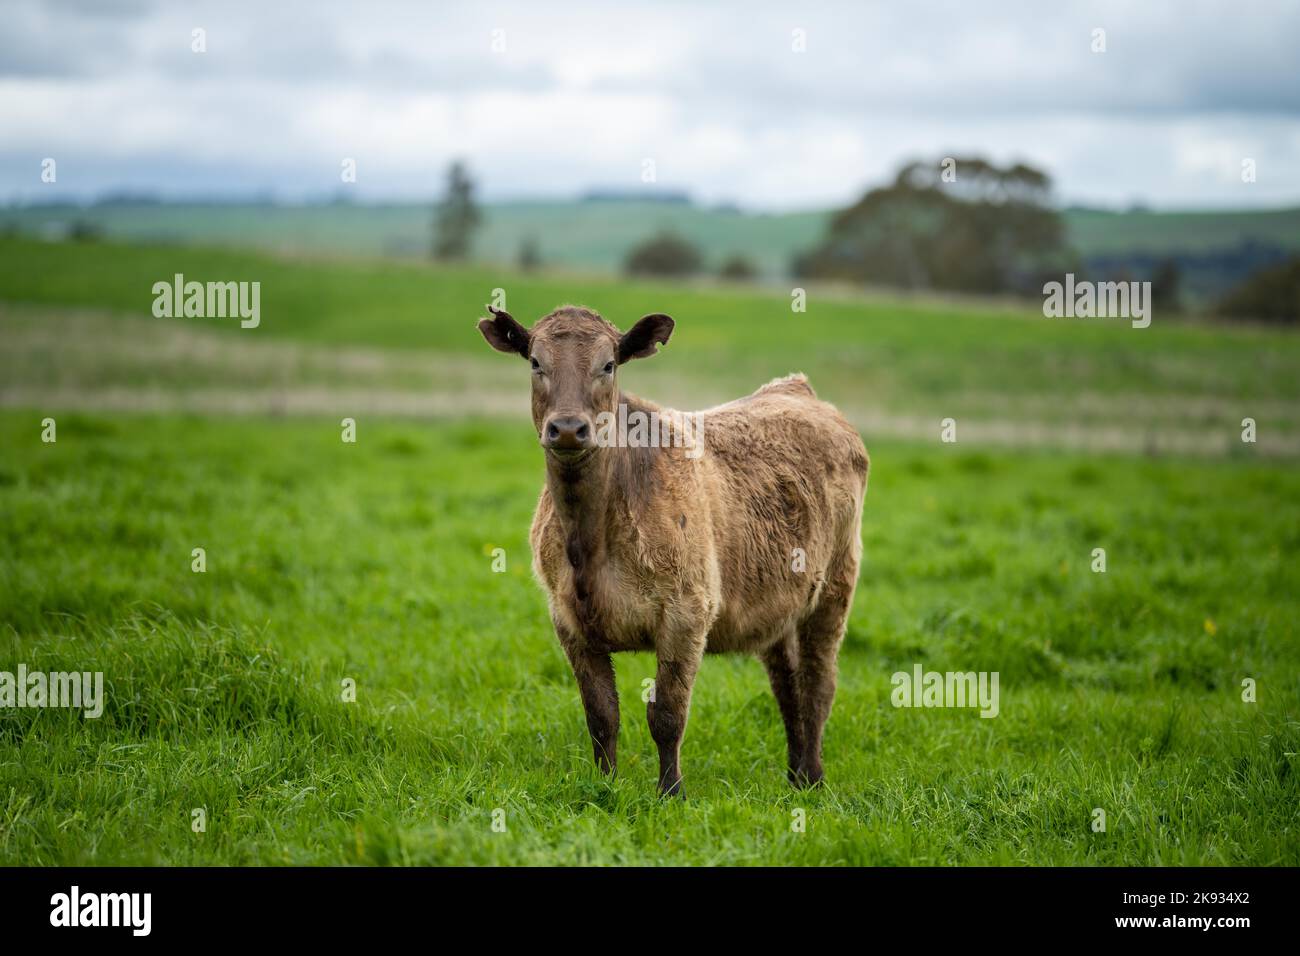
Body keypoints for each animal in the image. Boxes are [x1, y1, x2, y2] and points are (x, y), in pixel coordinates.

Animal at [478, 304, 868, 796]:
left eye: (609, 365)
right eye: (535, 362)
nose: (567, 428)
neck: (590, 538)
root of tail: (796, 388)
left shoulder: (687, 612)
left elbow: (666, 715)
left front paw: (670, 792)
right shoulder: (569, 621)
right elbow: (601, 716)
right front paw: (606, 787)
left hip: (834, 588)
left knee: (817, 685)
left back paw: (813, 780)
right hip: (780, 604)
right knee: (787, 685)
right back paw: (795, 776)